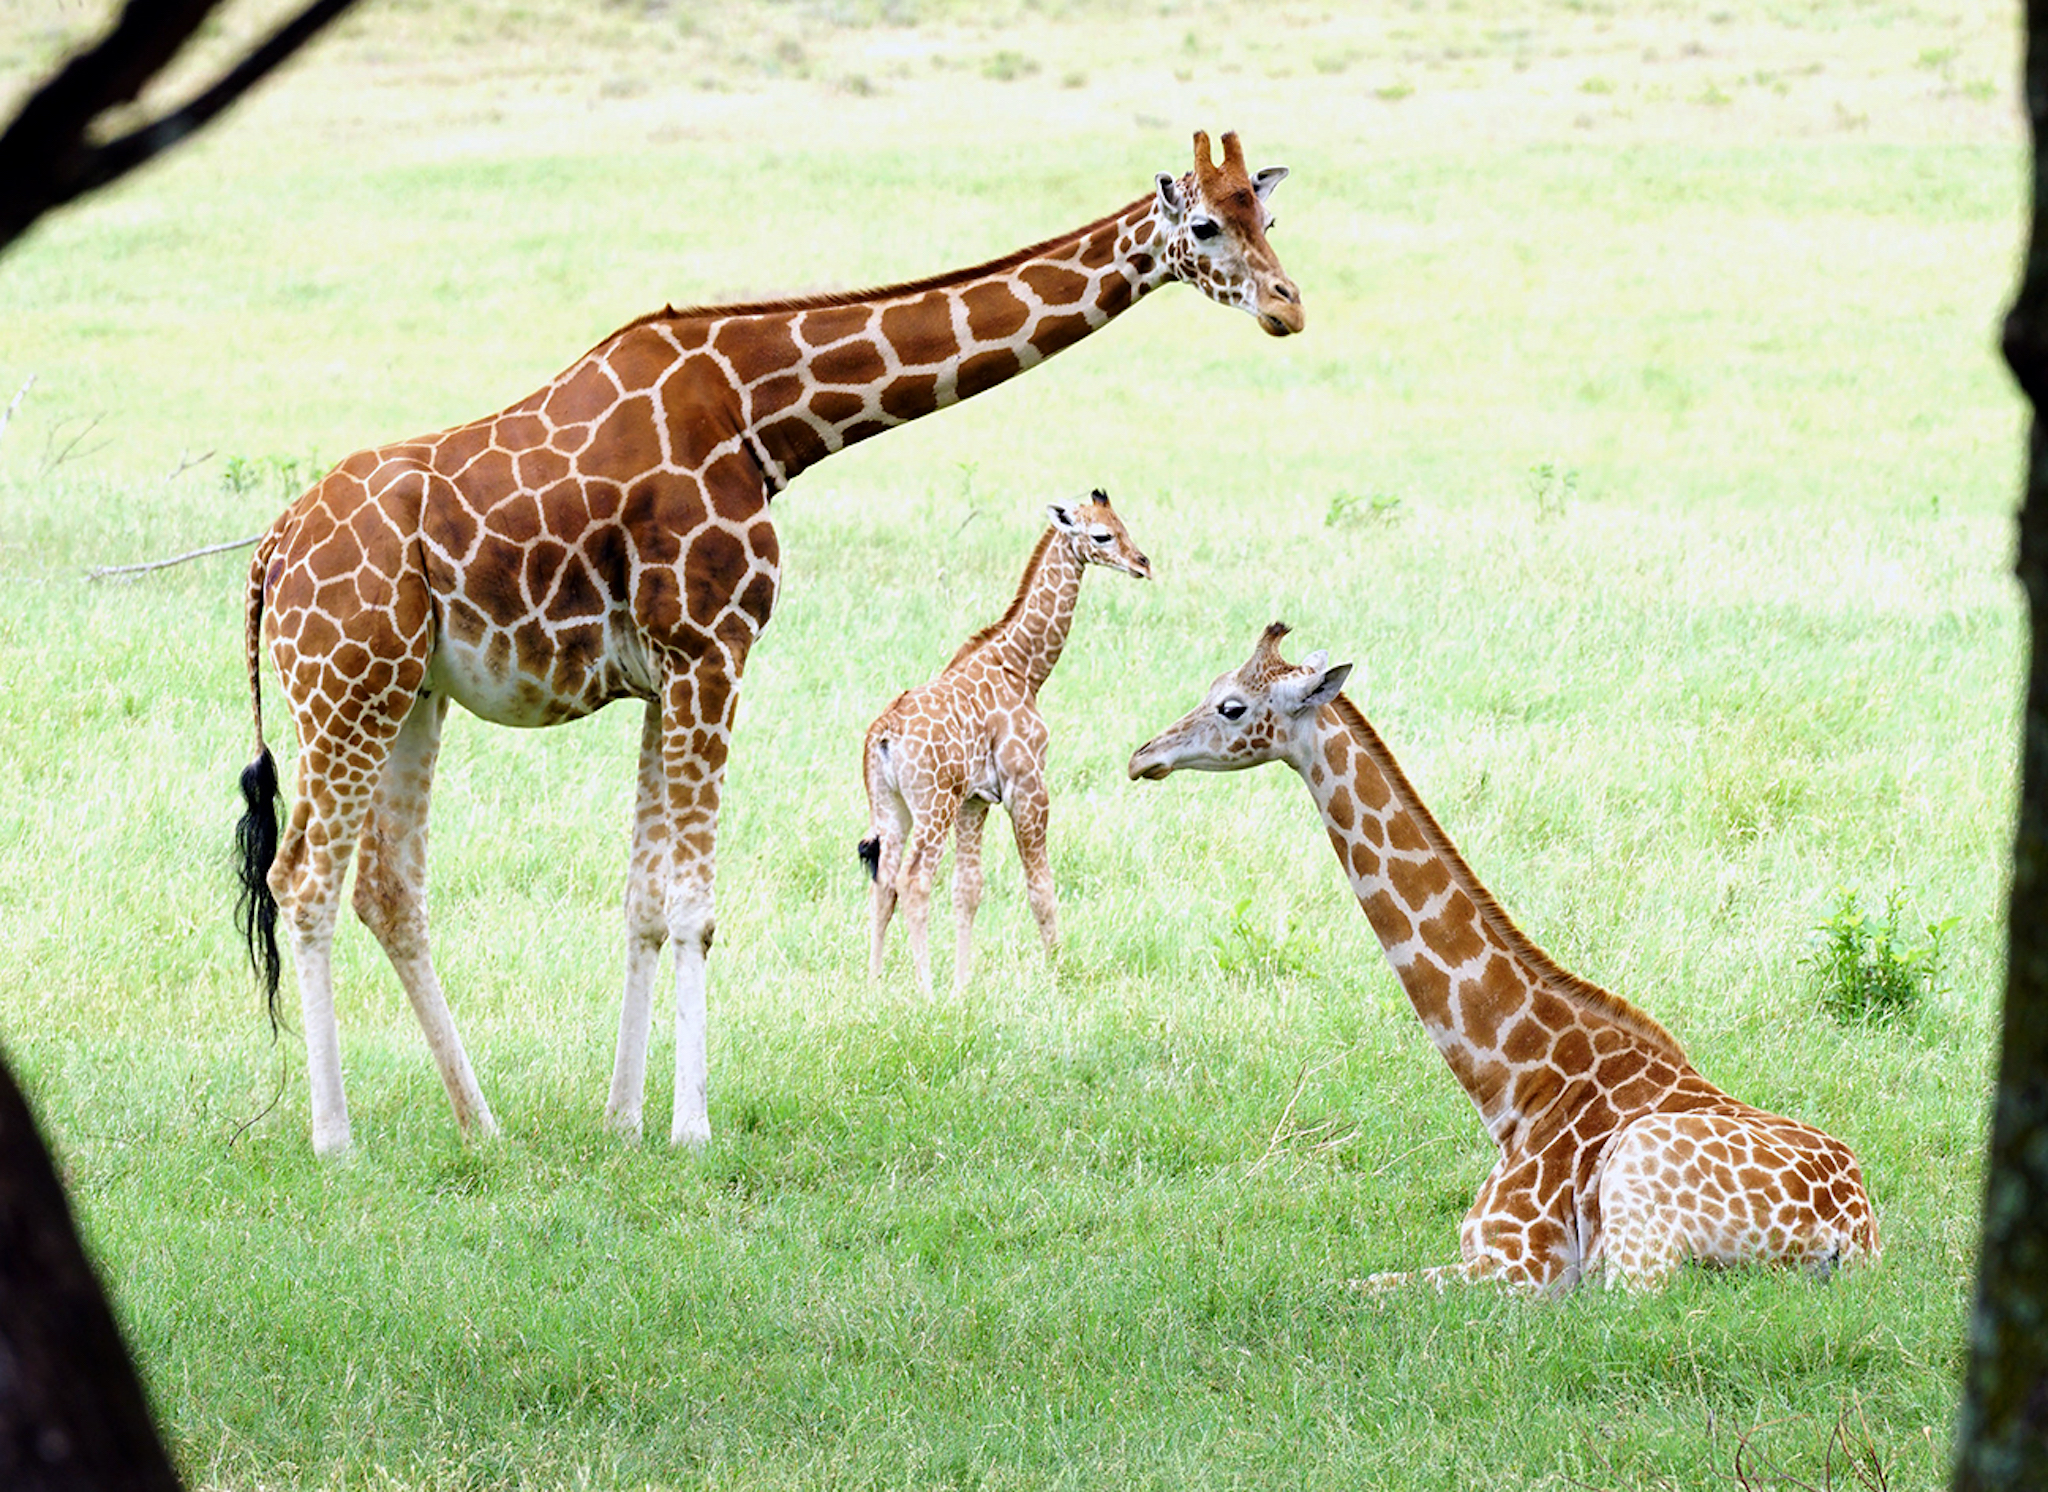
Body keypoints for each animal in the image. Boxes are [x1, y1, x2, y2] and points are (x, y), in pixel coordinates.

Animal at [859, 488, 1150, 994]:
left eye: (1124, 525)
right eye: (1102, 535)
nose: (1143, 564)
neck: (1023, 667)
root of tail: (885, 733)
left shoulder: (975, 800)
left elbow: (968, 890)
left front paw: (963, 985)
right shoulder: (1027, 787)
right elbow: (1041, 887)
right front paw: (1057, 972)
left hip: (891, 806)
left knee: (885, 882)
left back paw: (876, 983)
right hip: (932, 804)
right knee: (914, 880)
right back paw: (925, 989)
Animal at [1126, 624, 1881, 1292]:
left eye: (1233, 706)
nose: (1142, 755)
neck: (1514, 1083)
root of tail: (1851, 1237)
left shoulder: (1519, 1270)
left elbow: (1341, 1288)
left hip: (1639, 1206)